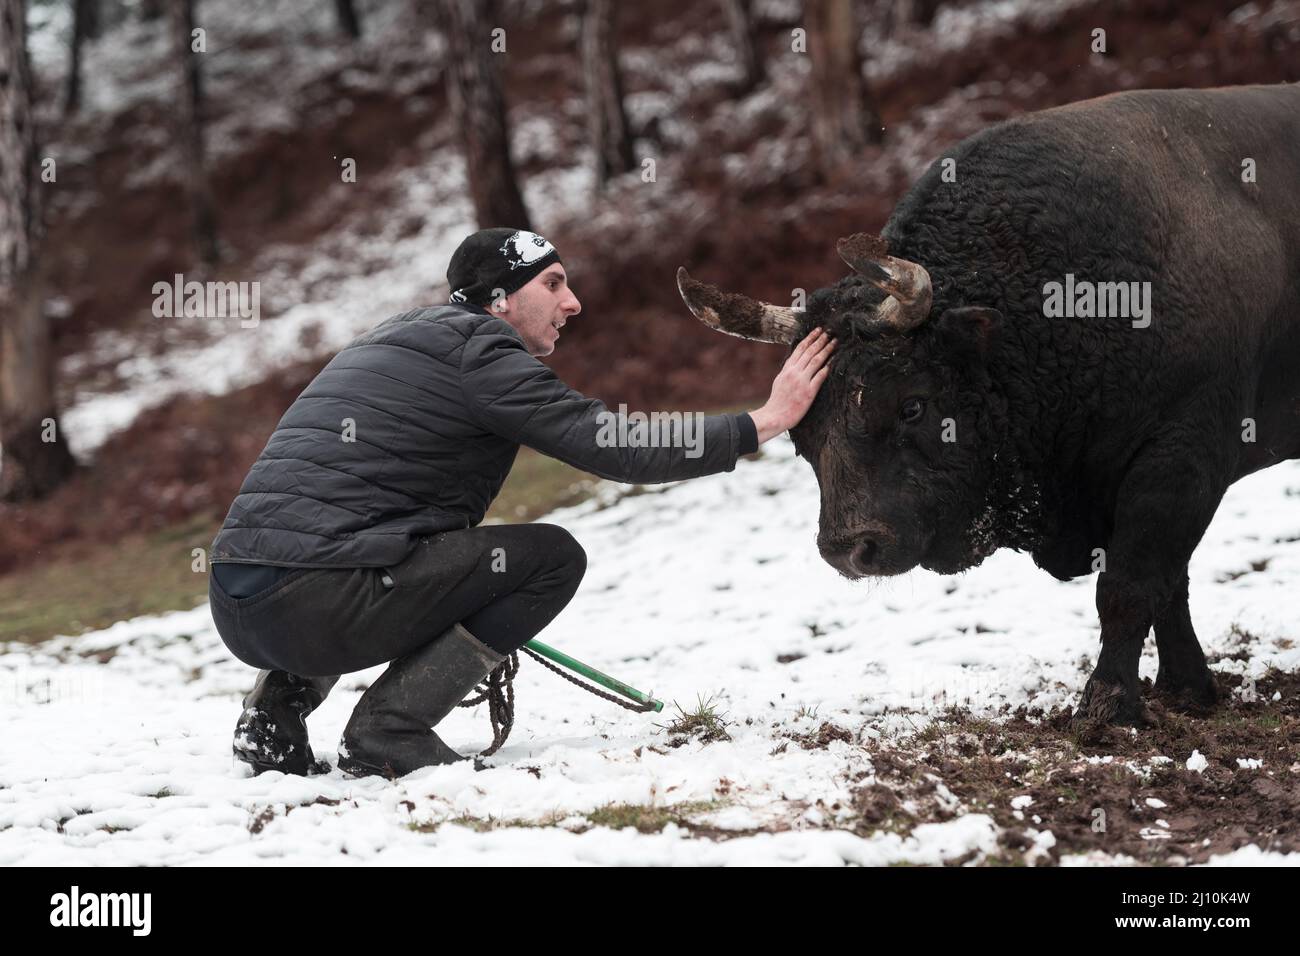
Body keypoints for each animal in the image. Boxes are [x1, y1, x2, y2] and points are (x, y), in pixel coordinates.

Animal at [677, 83, 1300, 731]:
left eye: (912, 406)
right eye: (802, 438)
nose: (849, 549)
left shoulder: (1180, 459)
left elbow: (1130, 588)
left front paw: (1106, 706)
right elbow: (1169, 588)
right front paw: (1188, 688)